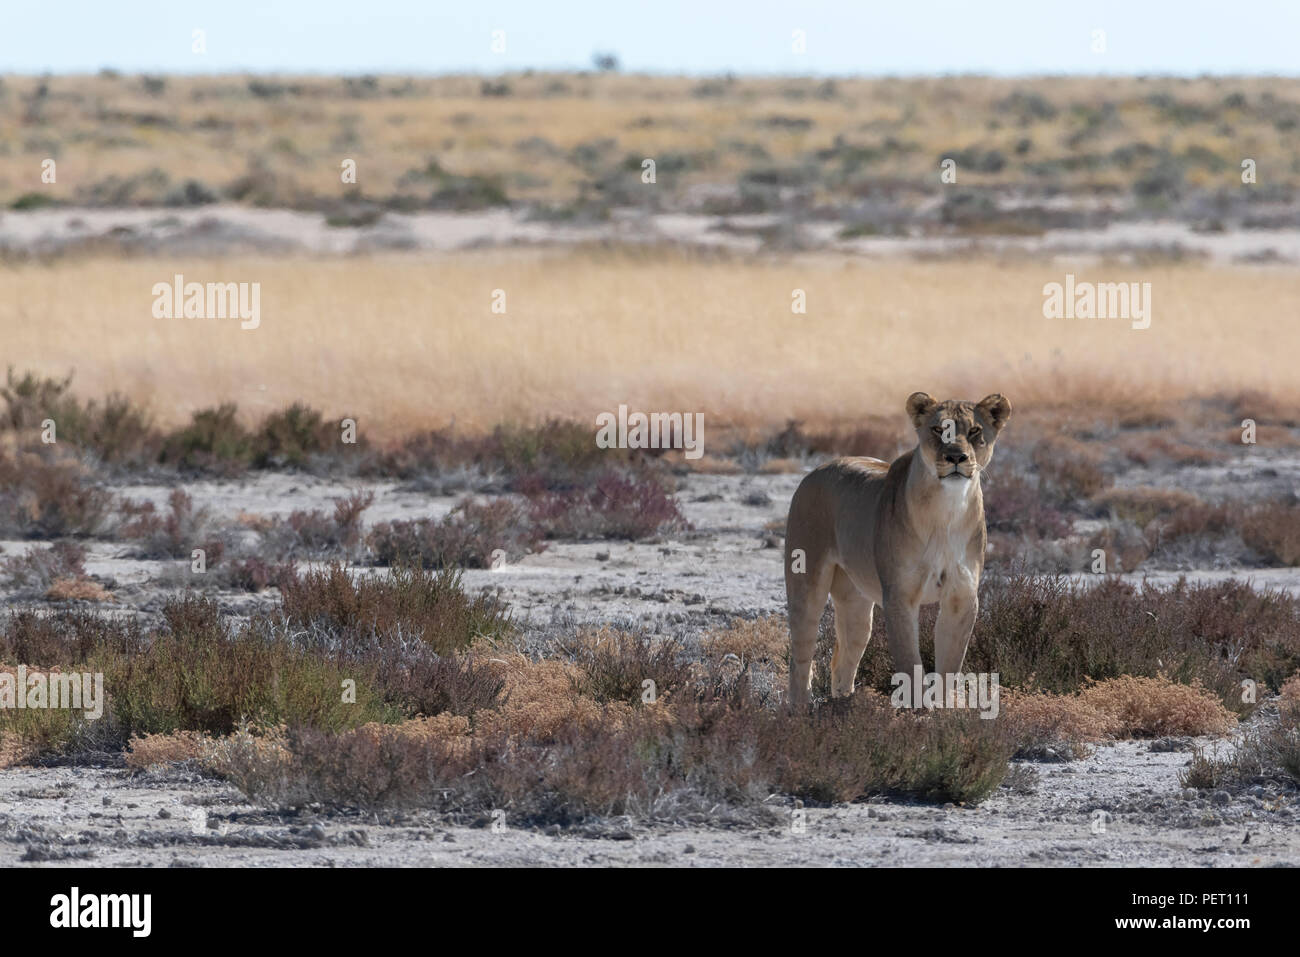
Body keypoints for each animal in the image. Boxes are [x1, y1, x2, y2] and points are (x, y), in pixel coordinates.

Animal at [783, 392, 1012, 708]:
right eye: (938, 429)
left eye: (975, 431)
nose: (956, 457)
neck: (947, 510)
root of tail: (816, 469)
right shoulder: (900, 595)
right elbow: (910, 661)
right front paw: (918, 709)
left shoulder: (962, 595)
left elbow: (950, 663)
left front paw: (943, 709)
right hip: (806, 582)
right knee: (801, 654)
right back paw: (800, 710)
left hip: (855, 601)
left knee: (844, 656)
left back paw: (845, 706)